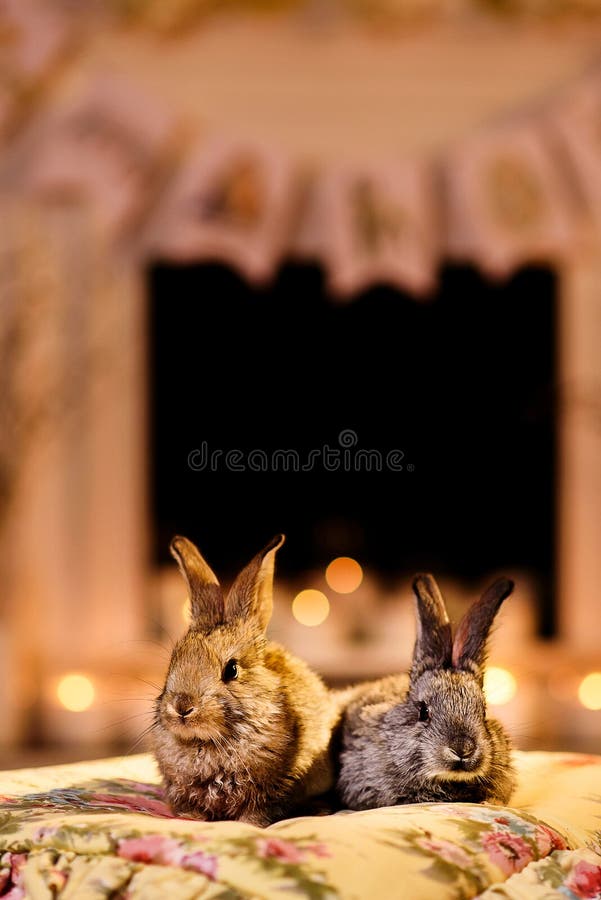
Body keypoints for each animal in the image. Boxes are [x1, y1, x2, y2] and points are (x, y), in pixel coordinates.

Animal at [152, 533, 341, 826]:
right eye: (173, 661)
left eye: (231, 670)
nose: (182, 707)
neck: (209, 742)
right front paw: (190, 819)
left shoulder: (269, 790)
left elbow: (256, 812)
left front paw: (248, 825)